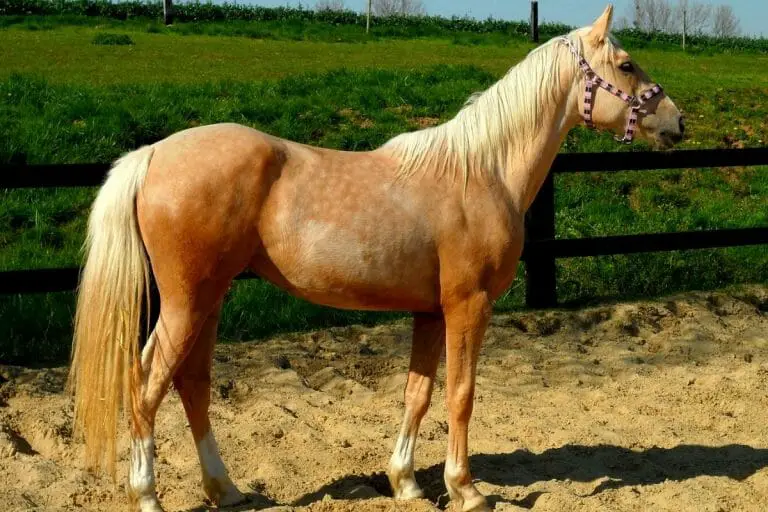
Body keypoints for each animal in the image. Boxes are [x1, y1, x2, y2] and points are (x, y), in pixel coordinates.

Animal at [68, 5, 684, 511]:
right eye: (627, 65)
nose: (677, 122)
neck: (482, 171)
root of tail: (152, 154)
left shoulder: (431, 312)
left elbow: (419, 393)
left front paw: (406, 483)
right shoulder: (469, 306)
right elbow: (461, 394)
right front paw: (466, 490)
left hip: (209, 299)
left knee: (191, 383)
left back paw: (226, 490)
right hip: (187, 302)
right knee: (146, 384)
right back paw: (148, 495)